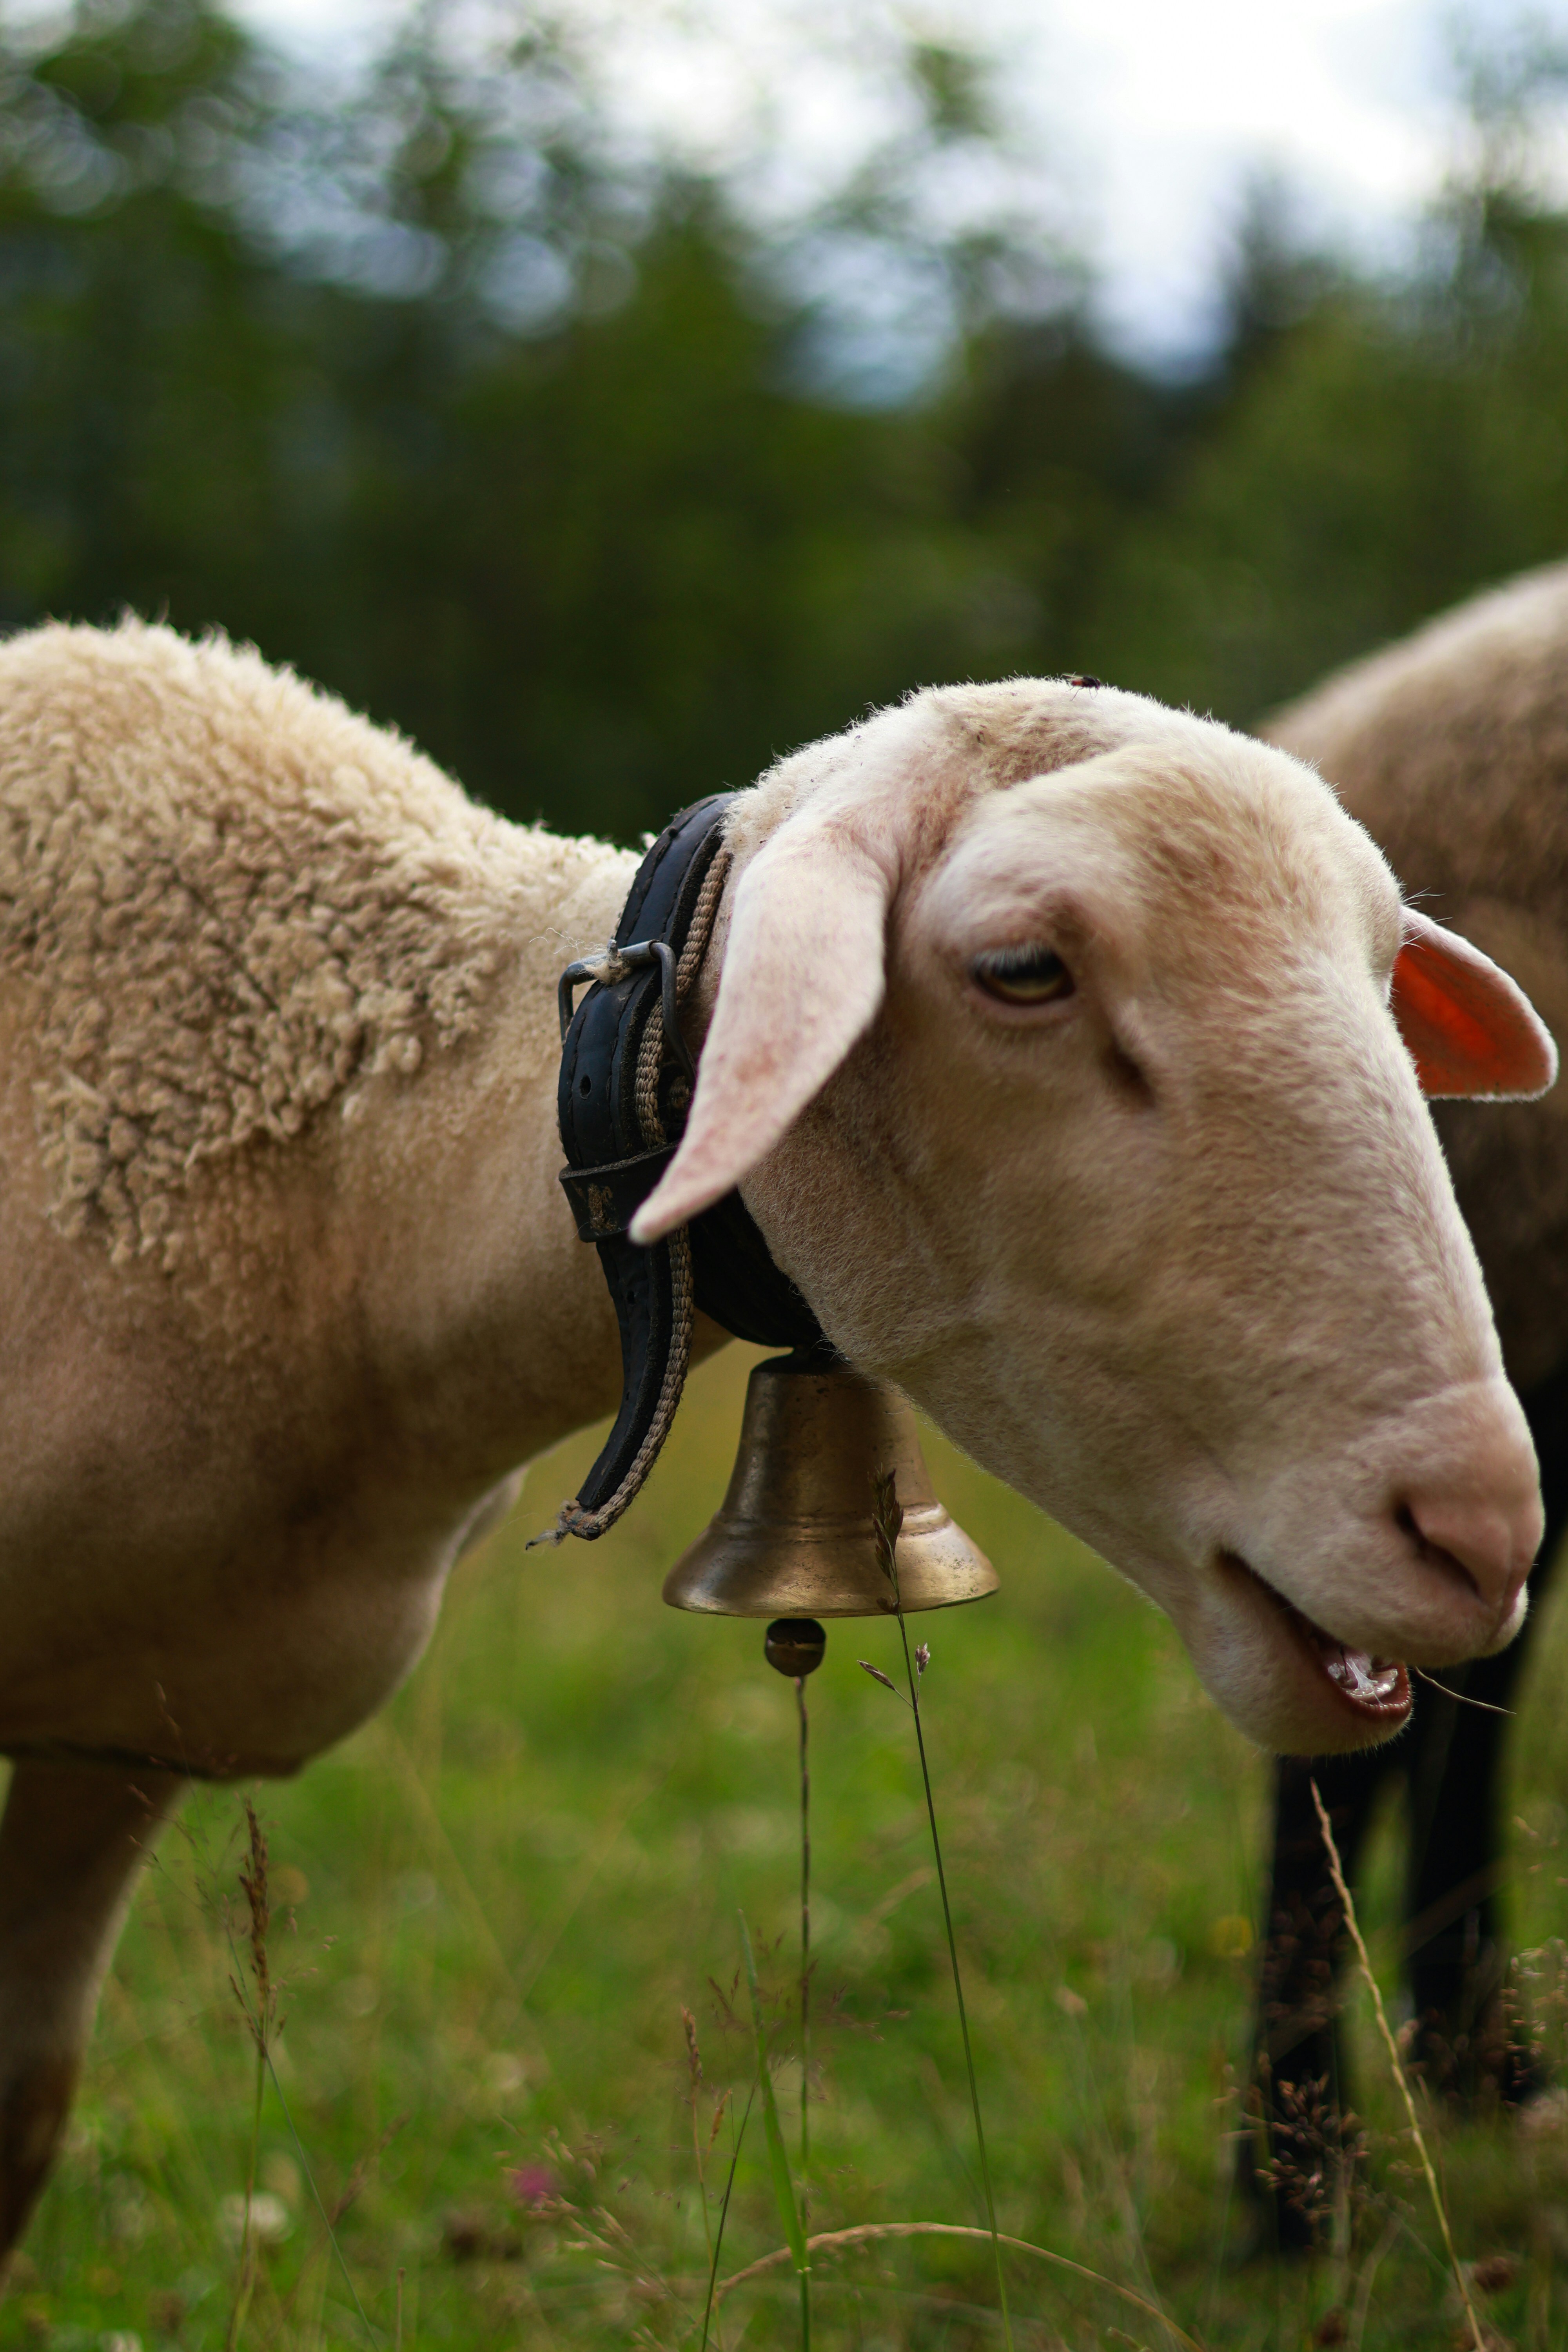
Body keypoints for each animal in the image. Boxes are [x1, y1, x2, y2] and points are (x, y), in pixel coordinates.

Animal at [0, 611, 1550, 2259]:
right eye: (1023, 969)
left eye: (1384, 964)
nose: (1474, 1536)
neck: (344, 1201)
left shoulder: (124, 1727)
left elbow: (23, 2122)